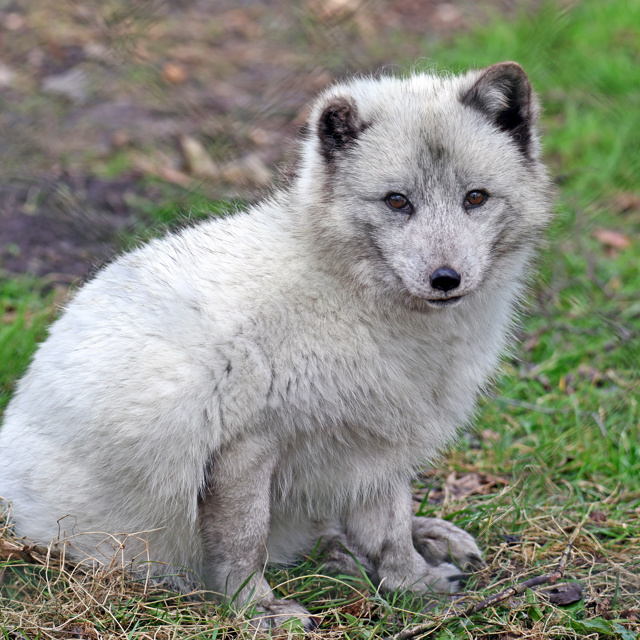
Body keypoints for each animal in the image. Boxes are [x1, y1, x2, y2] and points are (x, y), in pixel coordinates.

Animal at [0, 62, 552, 630]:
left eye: (476, 198)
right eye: (397, 201)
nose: (446, 279)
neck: (349, 299)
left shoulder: (380, 438)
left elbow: (391, 525)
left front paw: (411, 582)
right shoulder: (245, 448)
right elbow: (245, 542)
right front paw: (255, 608)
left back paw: (414, 540)